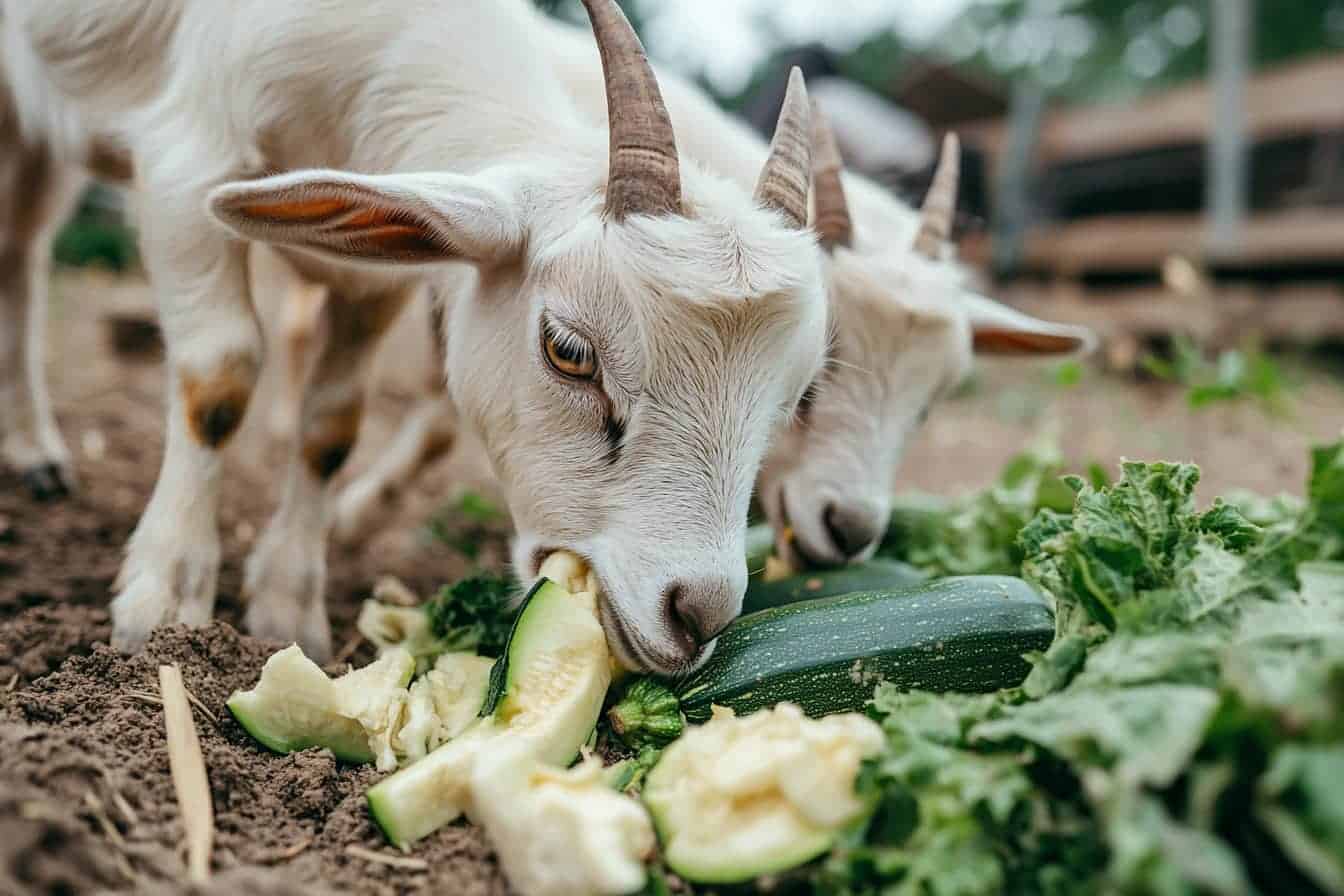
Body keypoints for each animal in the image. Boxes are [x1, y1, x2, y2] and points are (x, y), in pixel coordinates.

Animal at [2, 0, 829, 673]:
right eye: (568, 351)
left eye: (793, 402)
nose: (696, 613)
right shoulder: (189, 161)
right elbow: (220, 380)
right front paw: (165, 600)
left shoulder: (377, 275)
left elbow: (332, 427)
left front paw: (288, 609)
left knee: (23, 248)